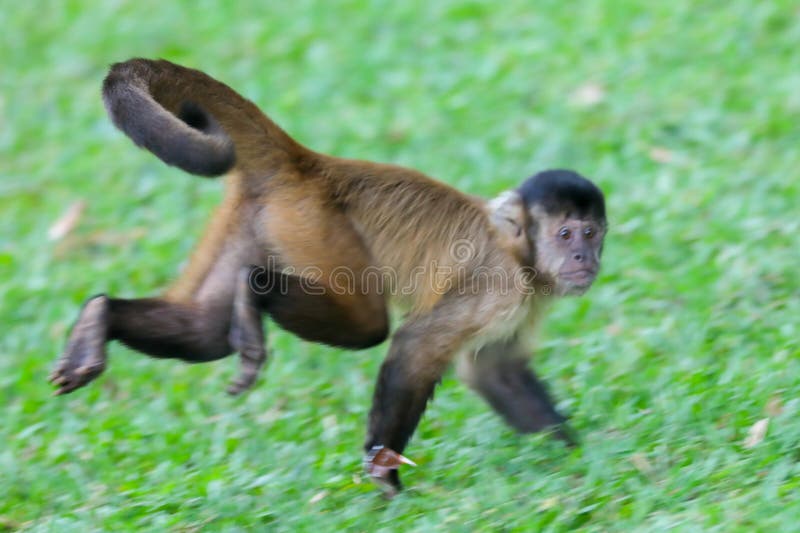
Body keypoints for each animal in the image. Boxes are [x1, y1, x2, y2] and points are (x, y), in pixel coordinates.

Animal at [50, 58, 607, 496]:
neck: (518, 254)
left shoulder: (529, 298)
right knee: (366, 327)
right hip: (310, 223)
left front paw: (575, 458)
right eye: (564, 235)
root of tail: (312, 164)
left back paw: (101, 315)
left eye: (593, 233)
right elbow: (414, 347)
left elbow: (494, 371)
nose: (585, 258)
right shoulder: (500, 286)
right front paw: (384, 476)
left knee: (204, 332)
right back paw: (255, 292)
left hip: (256, 216)